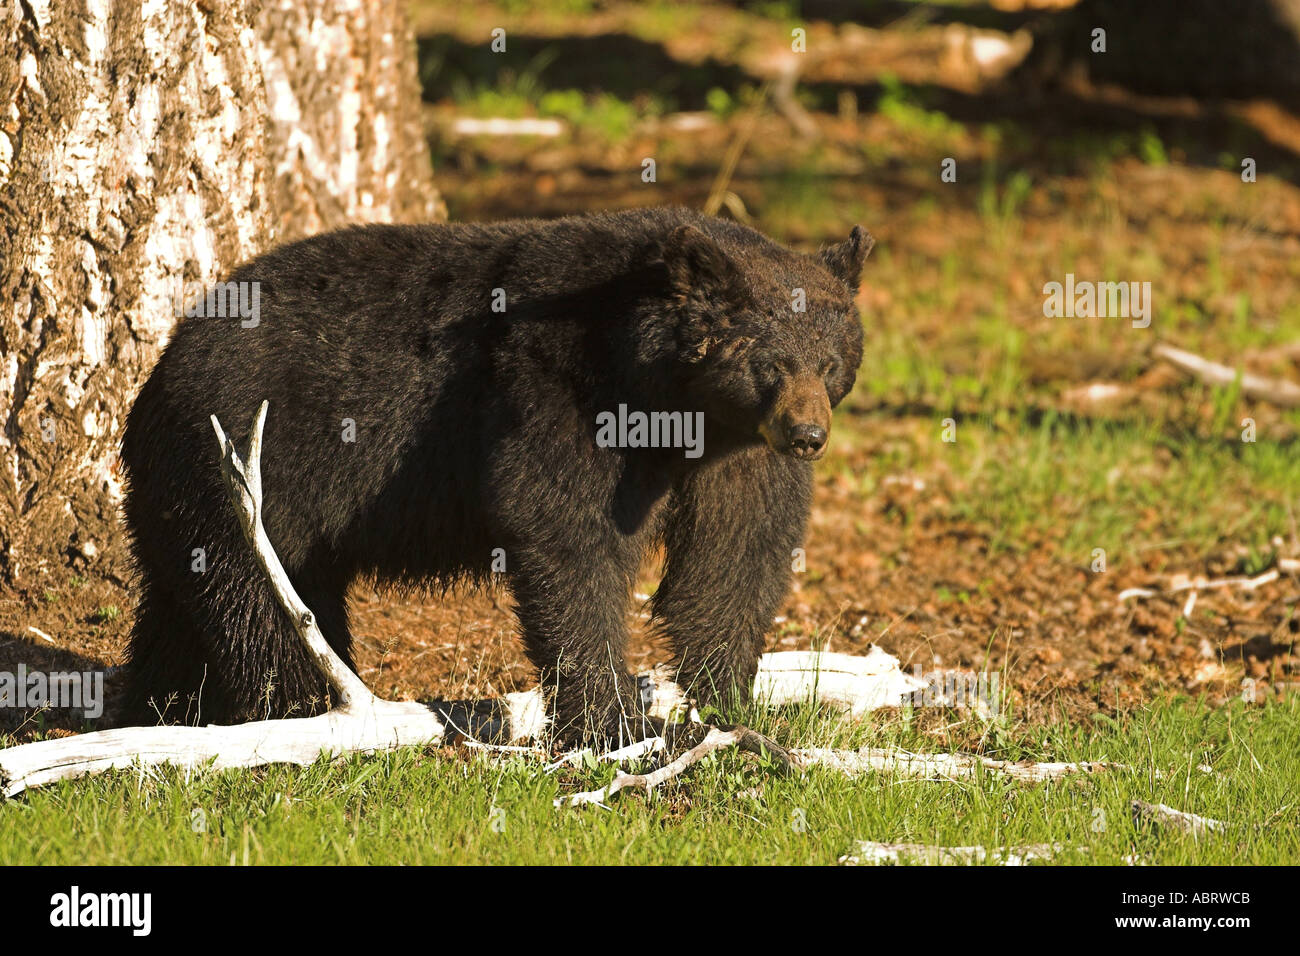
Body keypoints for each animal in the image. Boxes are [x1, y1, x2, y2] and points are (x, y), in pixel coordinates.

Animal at [120, 206, 873, 745]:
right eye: (771, 361)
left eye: (830, 362)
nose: (808, 437)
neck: (677, 403)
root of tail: (166, 361)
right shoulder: (560, 393)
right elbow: (570, 533)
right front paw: (609, 720)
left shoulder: (738, 452)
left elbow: (735, 554)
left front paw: (725, 698)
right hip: (248, 464)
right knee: (259, 599)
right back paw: (293, 704)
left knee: (187, 600)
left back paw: (161, 705)